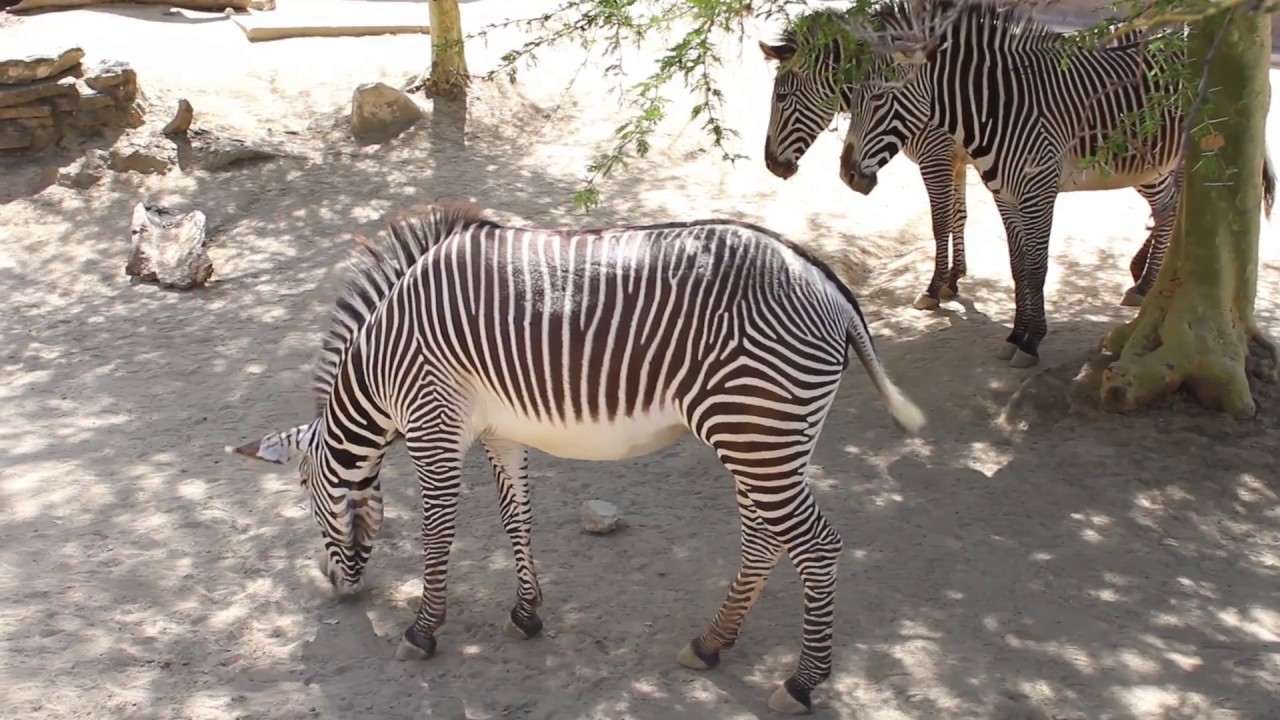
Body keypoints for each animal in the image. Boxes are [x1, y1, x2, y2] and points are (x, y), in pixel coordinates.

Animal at [227, 201, 926, 714]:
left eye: (307, 500)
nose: (336, 588)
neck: (381, 366)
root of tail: (824, 278)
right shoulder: (501, 433)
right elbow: (517, 518)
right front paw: (526, 614)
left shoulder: (433, 427)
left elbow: (438, 532)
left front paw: (423, 632)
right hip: (769, 440)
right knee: (764, 539)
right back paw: (709, 644)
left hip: (755, 433)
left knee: (817, 547)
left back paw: (802, 683)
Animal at [759, 5, 1190, 312]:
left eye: (782, 96)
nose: (771, 166)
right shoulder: (959, 160)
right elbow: (959, 216)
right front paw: (954, 279)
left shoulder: (936, 156)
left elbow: (939, 222)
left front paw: (934, 288)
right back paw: (1146, 270)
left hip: (1147, 158)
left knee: (1170, 205)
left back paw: (1145, 281)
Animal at [836, 0, 1276, 368]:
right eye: (853, 95)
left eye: (881, 96)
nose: (847, 175)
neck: (996, 109)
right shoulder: (1004, 194)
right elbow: (1016, 266)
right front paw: (1014, 335)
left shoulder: (1036, 191)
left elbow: (1035, 267)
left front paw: (1031, 342)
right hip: (1157, 163)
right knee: (1169, 207)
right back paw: (1145, 279)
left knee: (1172, 208)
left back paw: (1146, 283)